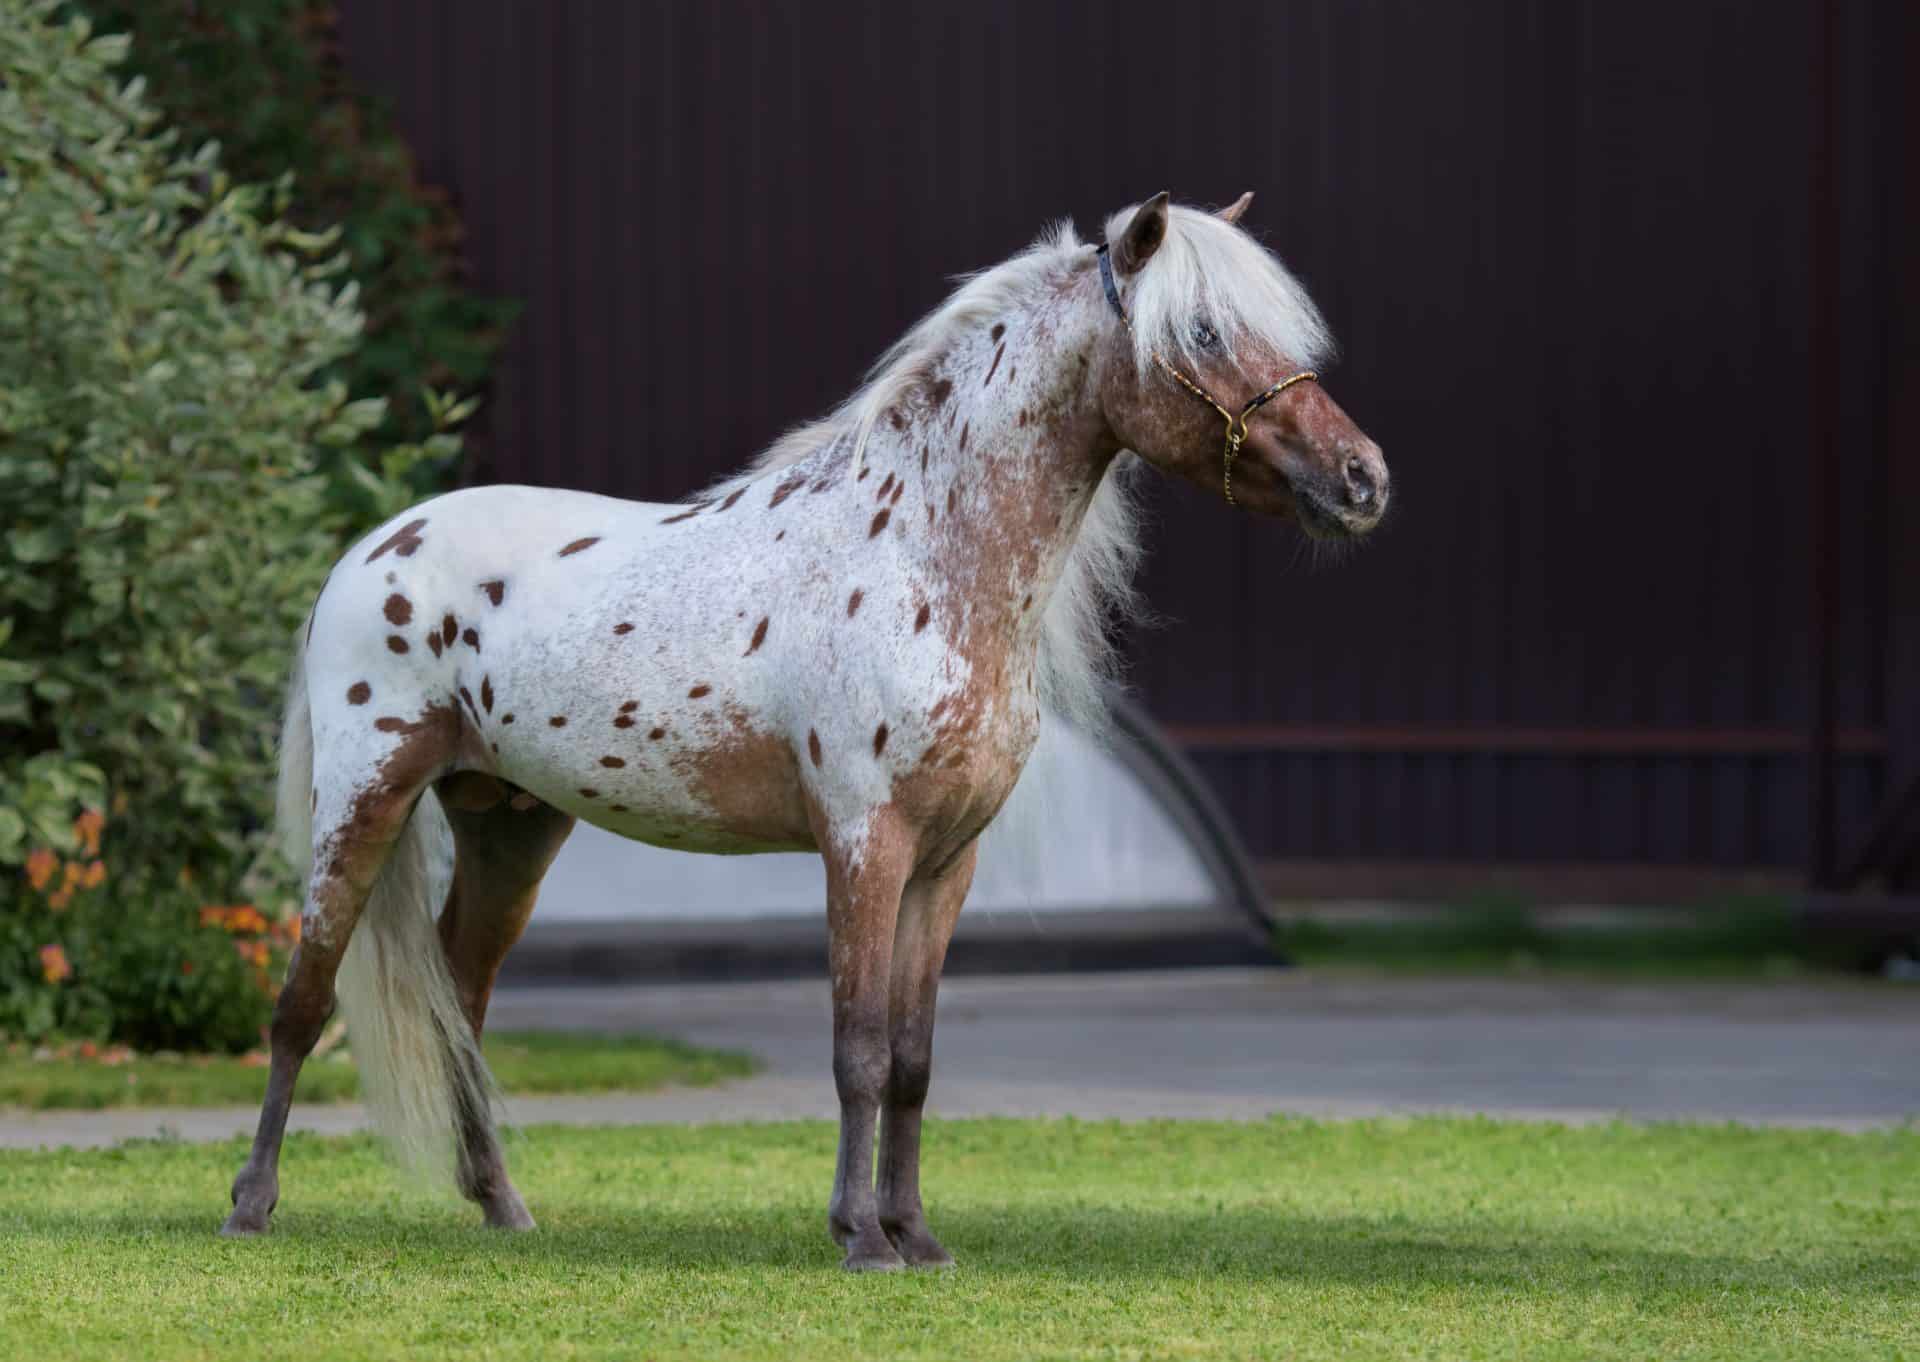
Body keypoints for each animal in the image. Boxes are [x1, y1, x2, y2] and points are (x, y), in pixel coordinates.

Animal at [220, 191, 1390, 1269]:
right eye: (1202, 334)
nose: (1363, 478)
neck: (919, 552)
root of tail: (373, 548)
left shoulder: (944, 866)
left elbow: (914, 1060)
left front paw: (916, 1236)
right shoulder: (865, 846)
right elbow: (859, 1048)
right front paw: (860, 1238)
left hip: (511, 827)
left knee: (461, 1009)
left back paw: (504, 1211)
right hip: (364, 800)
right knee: (300, 1001)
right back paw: (251, 1208)